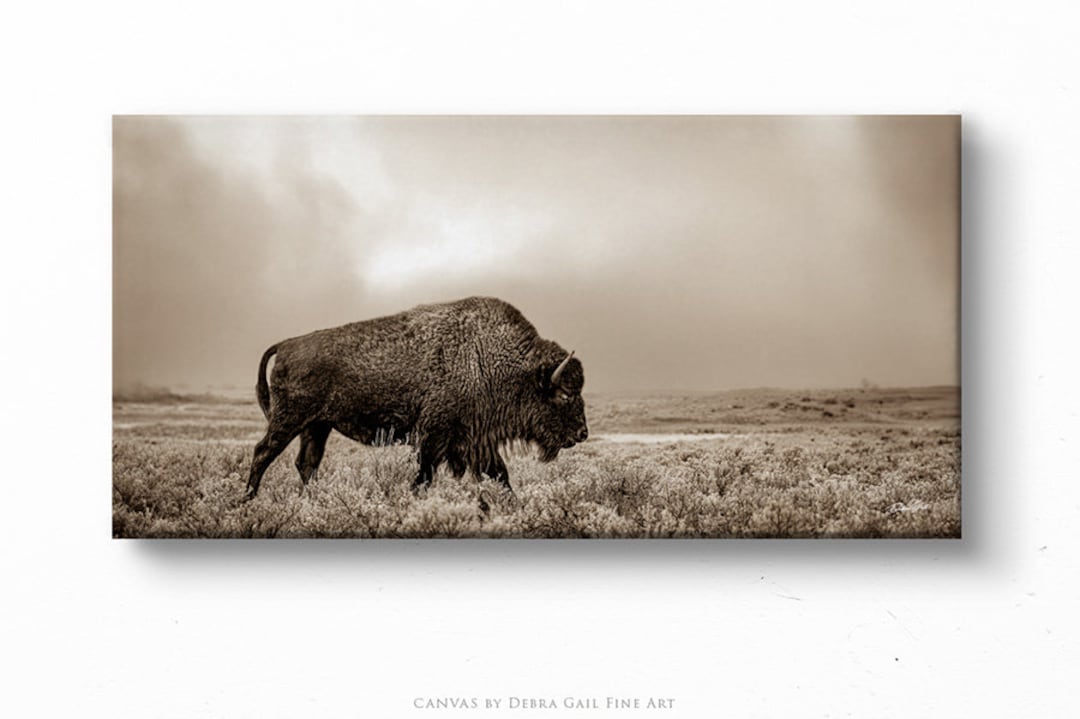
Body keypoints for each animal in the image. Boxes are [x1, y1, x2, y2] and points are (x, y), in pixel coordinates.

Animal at [245, 296, 588, 499]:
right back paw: (248, 499)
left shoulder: (477, 441)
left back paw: (317, 498)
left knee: (307, 462)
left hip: (317, 426)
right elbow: (424, 476)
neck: (486, 358)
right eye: (564, 393)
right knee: (264, 452)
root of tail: (286, 344)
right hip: (290, 420)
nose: (582, 433)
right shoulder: (435, 435)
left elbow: (501, 476)